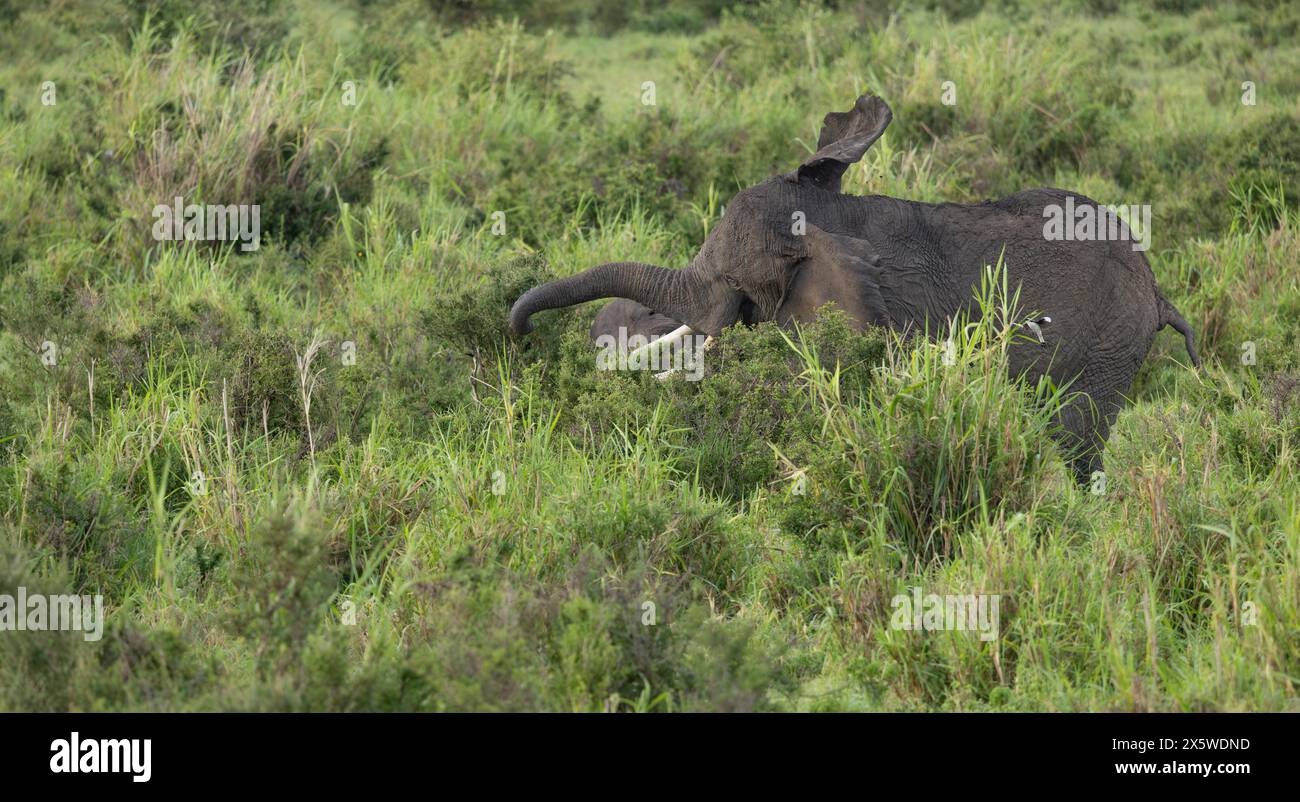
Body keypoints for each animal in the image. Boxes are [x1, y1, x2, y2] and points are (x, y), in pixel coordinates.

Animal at [510, 94, 1202, 482]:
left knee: (1077, 444)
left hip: (1107, 351)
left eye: (735, 280)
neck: (827, 221)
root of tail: (1156, 291)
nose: (521, 332)